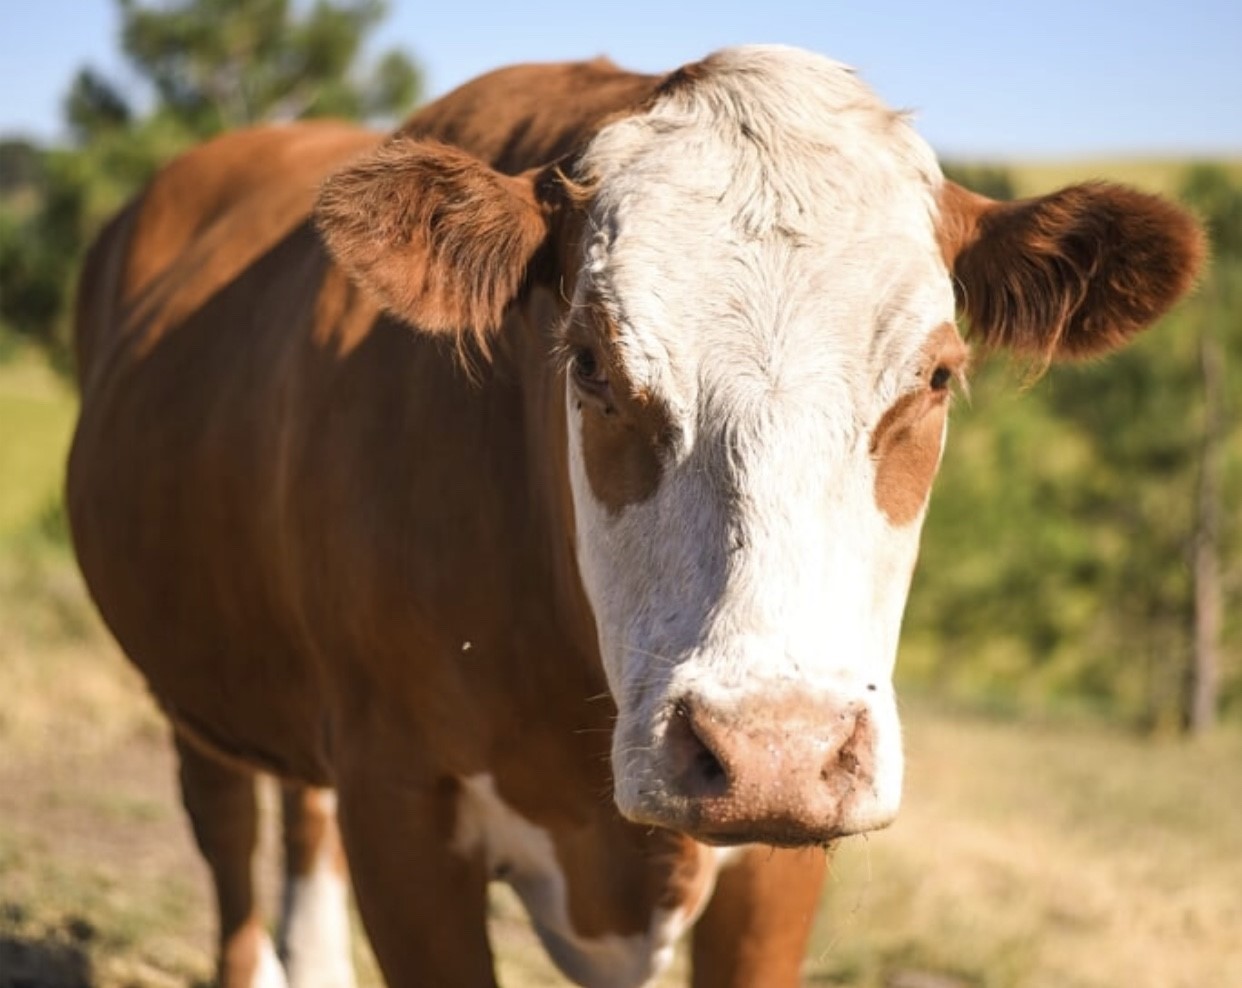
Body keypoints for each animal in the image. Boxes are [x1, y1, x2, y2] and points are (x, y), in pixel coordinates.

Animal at [68, 45, 1203, 988]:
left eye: (934, 376)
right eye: (589, 364)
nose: (772, 747)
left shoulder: (779, 864)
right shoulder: (400, 806)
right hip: (190, 685)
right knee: (228, 831)